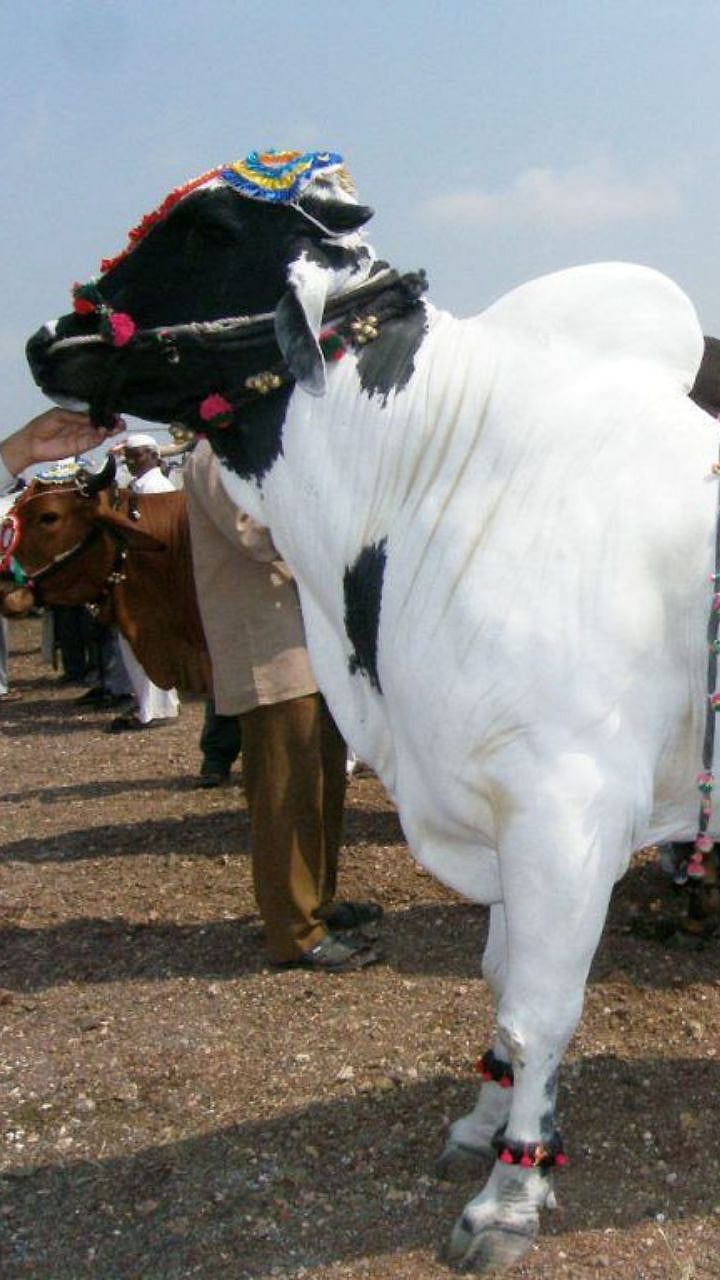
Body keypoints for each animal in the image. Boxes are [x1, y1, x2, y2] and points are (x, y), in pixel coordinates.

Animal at [23, 148, 720, 1272]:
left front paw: (509, 1194)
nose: (49, 338)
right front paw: (485, 1120)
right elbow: (499, 982)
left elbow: (538, 1008)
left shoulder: (565, 807)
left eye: (211, 231)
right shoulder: (493, 808)